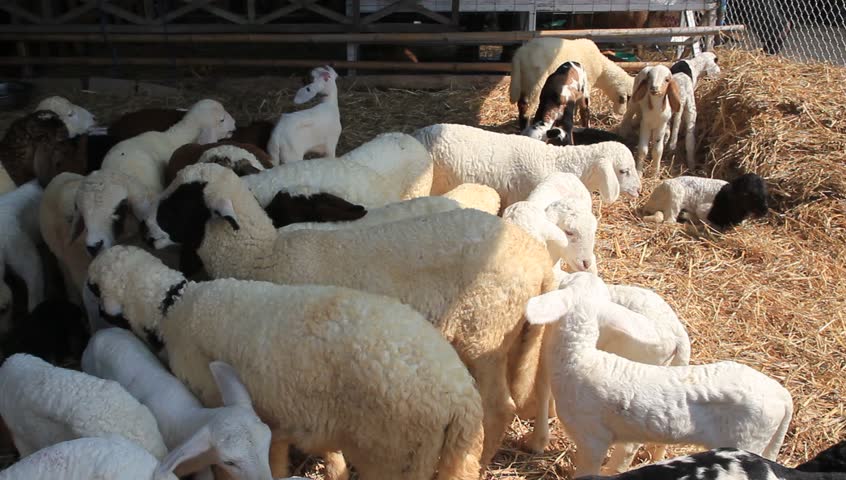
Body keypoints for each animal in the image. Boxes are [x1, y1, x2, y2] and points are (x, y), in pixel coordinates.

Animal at [143, 163, 557, 465]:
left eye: (179, 203)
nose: (145, 232)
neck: (263, 255)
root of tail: (539, 261)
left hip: (483, 334)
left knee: (499, 407)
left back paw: (484, 460)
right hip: (511, 336)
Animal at [641, 174, 769, 230]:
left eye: (765, 192)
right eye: (746, 194)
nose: (764, 211)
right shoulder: (703, 210)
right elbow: (709, 223)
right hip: (674, 194)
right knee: (669, 221)